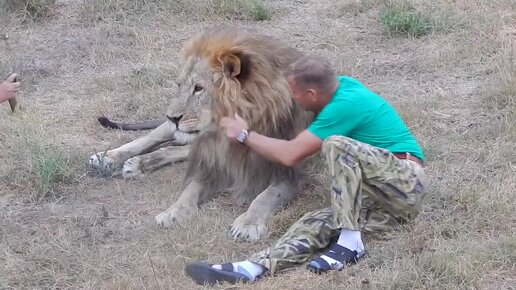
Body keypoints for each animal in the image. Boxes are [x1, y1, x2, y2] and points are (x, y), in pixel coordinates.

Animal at [89, 26, 314, 240]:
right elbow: (190, 190)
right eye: (179, 85)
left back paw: (139, 163)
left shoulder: (290, 174)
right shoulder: (211, 163)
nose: (172, 117)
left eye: (198, 88)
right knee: (152, 138)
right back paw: (108, 158)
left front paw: (248, 223)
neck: (225, 137)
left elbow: (265, 197)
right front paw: (173, 212)